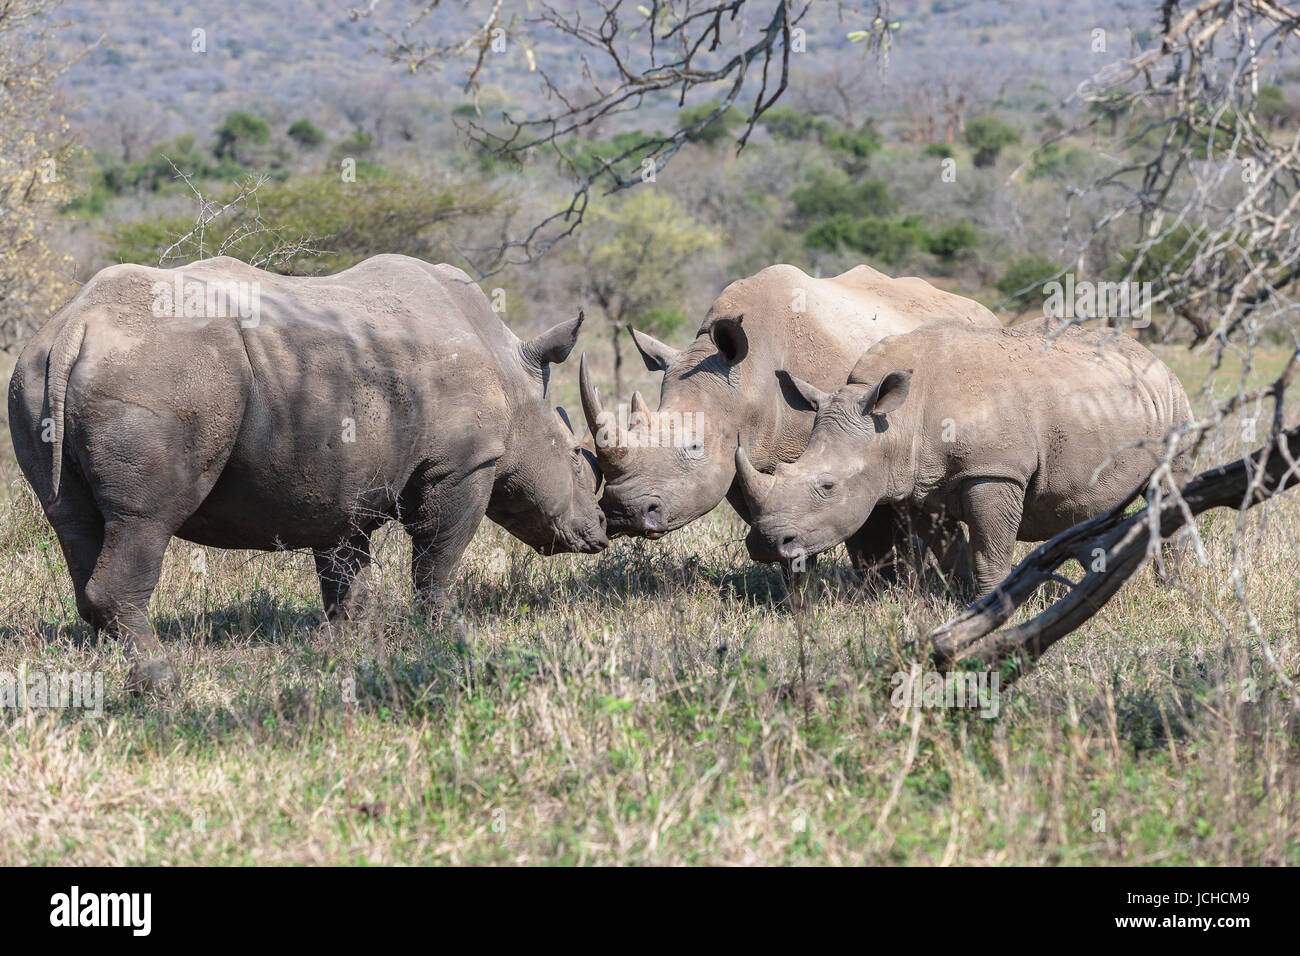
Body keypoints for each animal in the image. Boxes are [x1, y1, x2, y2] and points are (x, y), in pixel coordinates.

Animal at [9, 254, 607, 694]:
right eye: (576, 458)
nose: (600, 530)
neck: (511, 376)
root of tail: (77, 325)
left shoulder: (341, 482)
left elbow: (347, 577)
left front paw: (347, 653)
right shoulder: (462, 467)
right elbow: (436, 562)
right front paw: (449, 641)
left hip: (33, 374)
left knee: (75, 524)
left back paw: (107, 673)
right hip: (162, 372)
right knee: (144, 522)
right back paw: (162, 683)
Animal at [579, 263, 1000, 576]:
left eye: (695, 446)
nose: (623, 512)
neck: (750, 379)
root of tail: (985, 310)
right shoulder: (747, 465)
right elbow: (780, 525)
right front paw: (798, 596)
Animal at [736, 319, 1194, 597]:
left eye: (827, 487)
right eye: (781, 470)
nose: (766, 544)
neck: (895, 423)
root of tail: (1156, 361)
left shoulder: (994, 471)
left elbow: (989, 552)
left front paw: (993, 604)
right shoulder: (915, 483)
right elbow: (950, 550)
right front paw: (963, 601)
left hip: (1176, 404)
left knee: (1169, 490)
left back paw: (1169, 586)